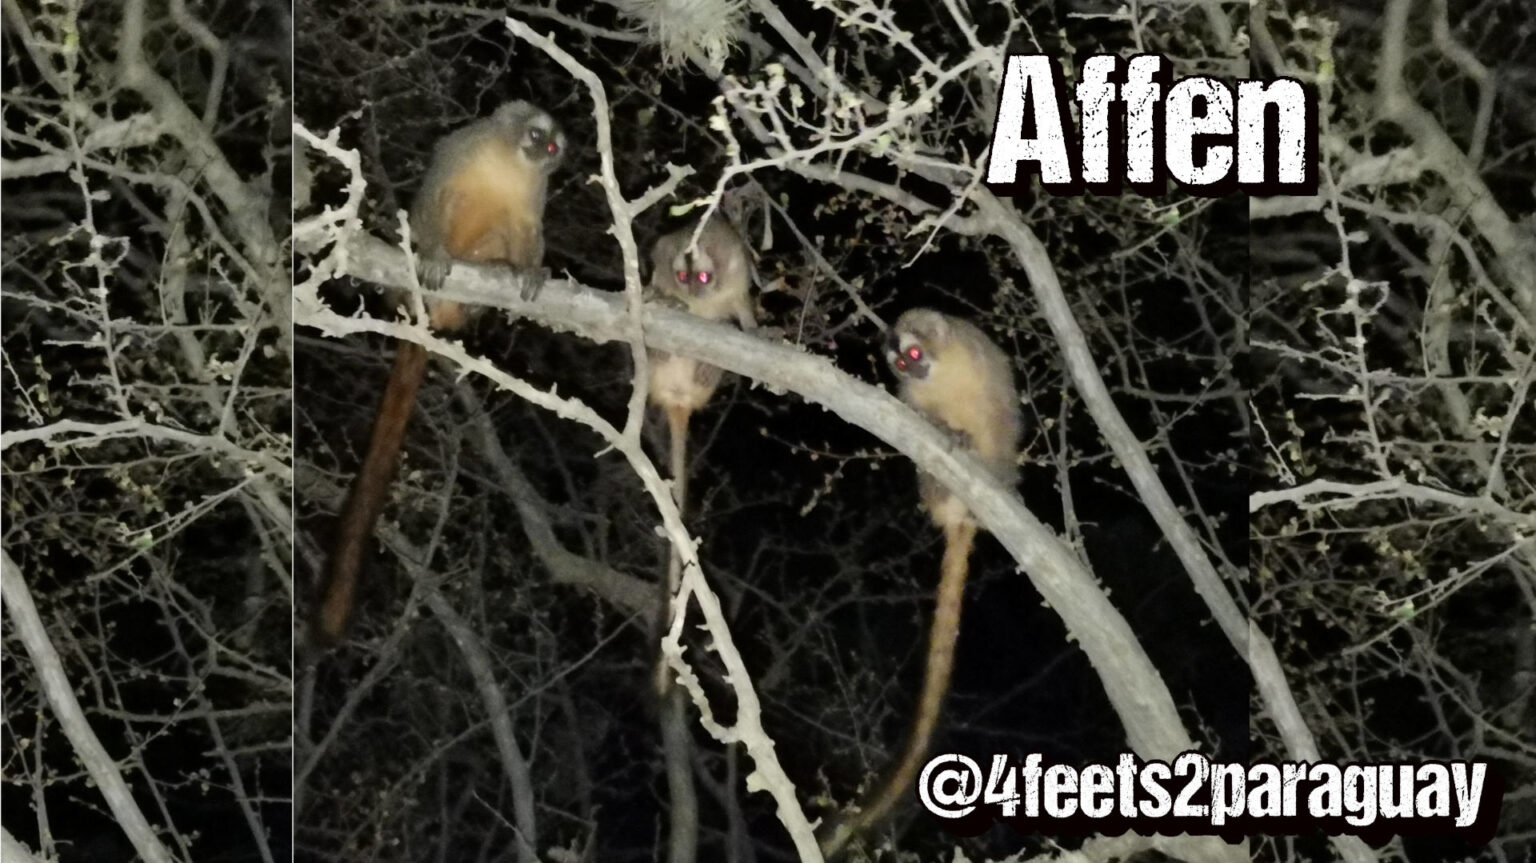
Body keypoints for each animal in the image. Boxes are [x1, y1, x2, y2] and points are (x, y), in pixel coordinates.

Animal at [314, 101, 565, 645]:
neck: (508, 164)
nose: (543, 152)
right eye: (536, 135)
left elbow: (527, 229)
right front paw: (429, 255)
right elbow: (435, 197)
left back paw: (492, 280)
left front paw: (530, 272)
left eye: (553, 146)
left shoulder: (534, 193)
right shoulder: (458, 150)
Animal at [819, 308, 1021, 857]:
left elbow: (1004, 415)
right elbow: (918, 416)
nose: (912, 368)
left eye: (913, 352)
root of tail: (958, 517)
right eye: (899, 364)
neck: (943, 371)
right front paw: (938, 425)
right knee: (929, 471)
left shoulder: (983, 361)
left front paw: (993, 458)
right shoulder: (911, 397)